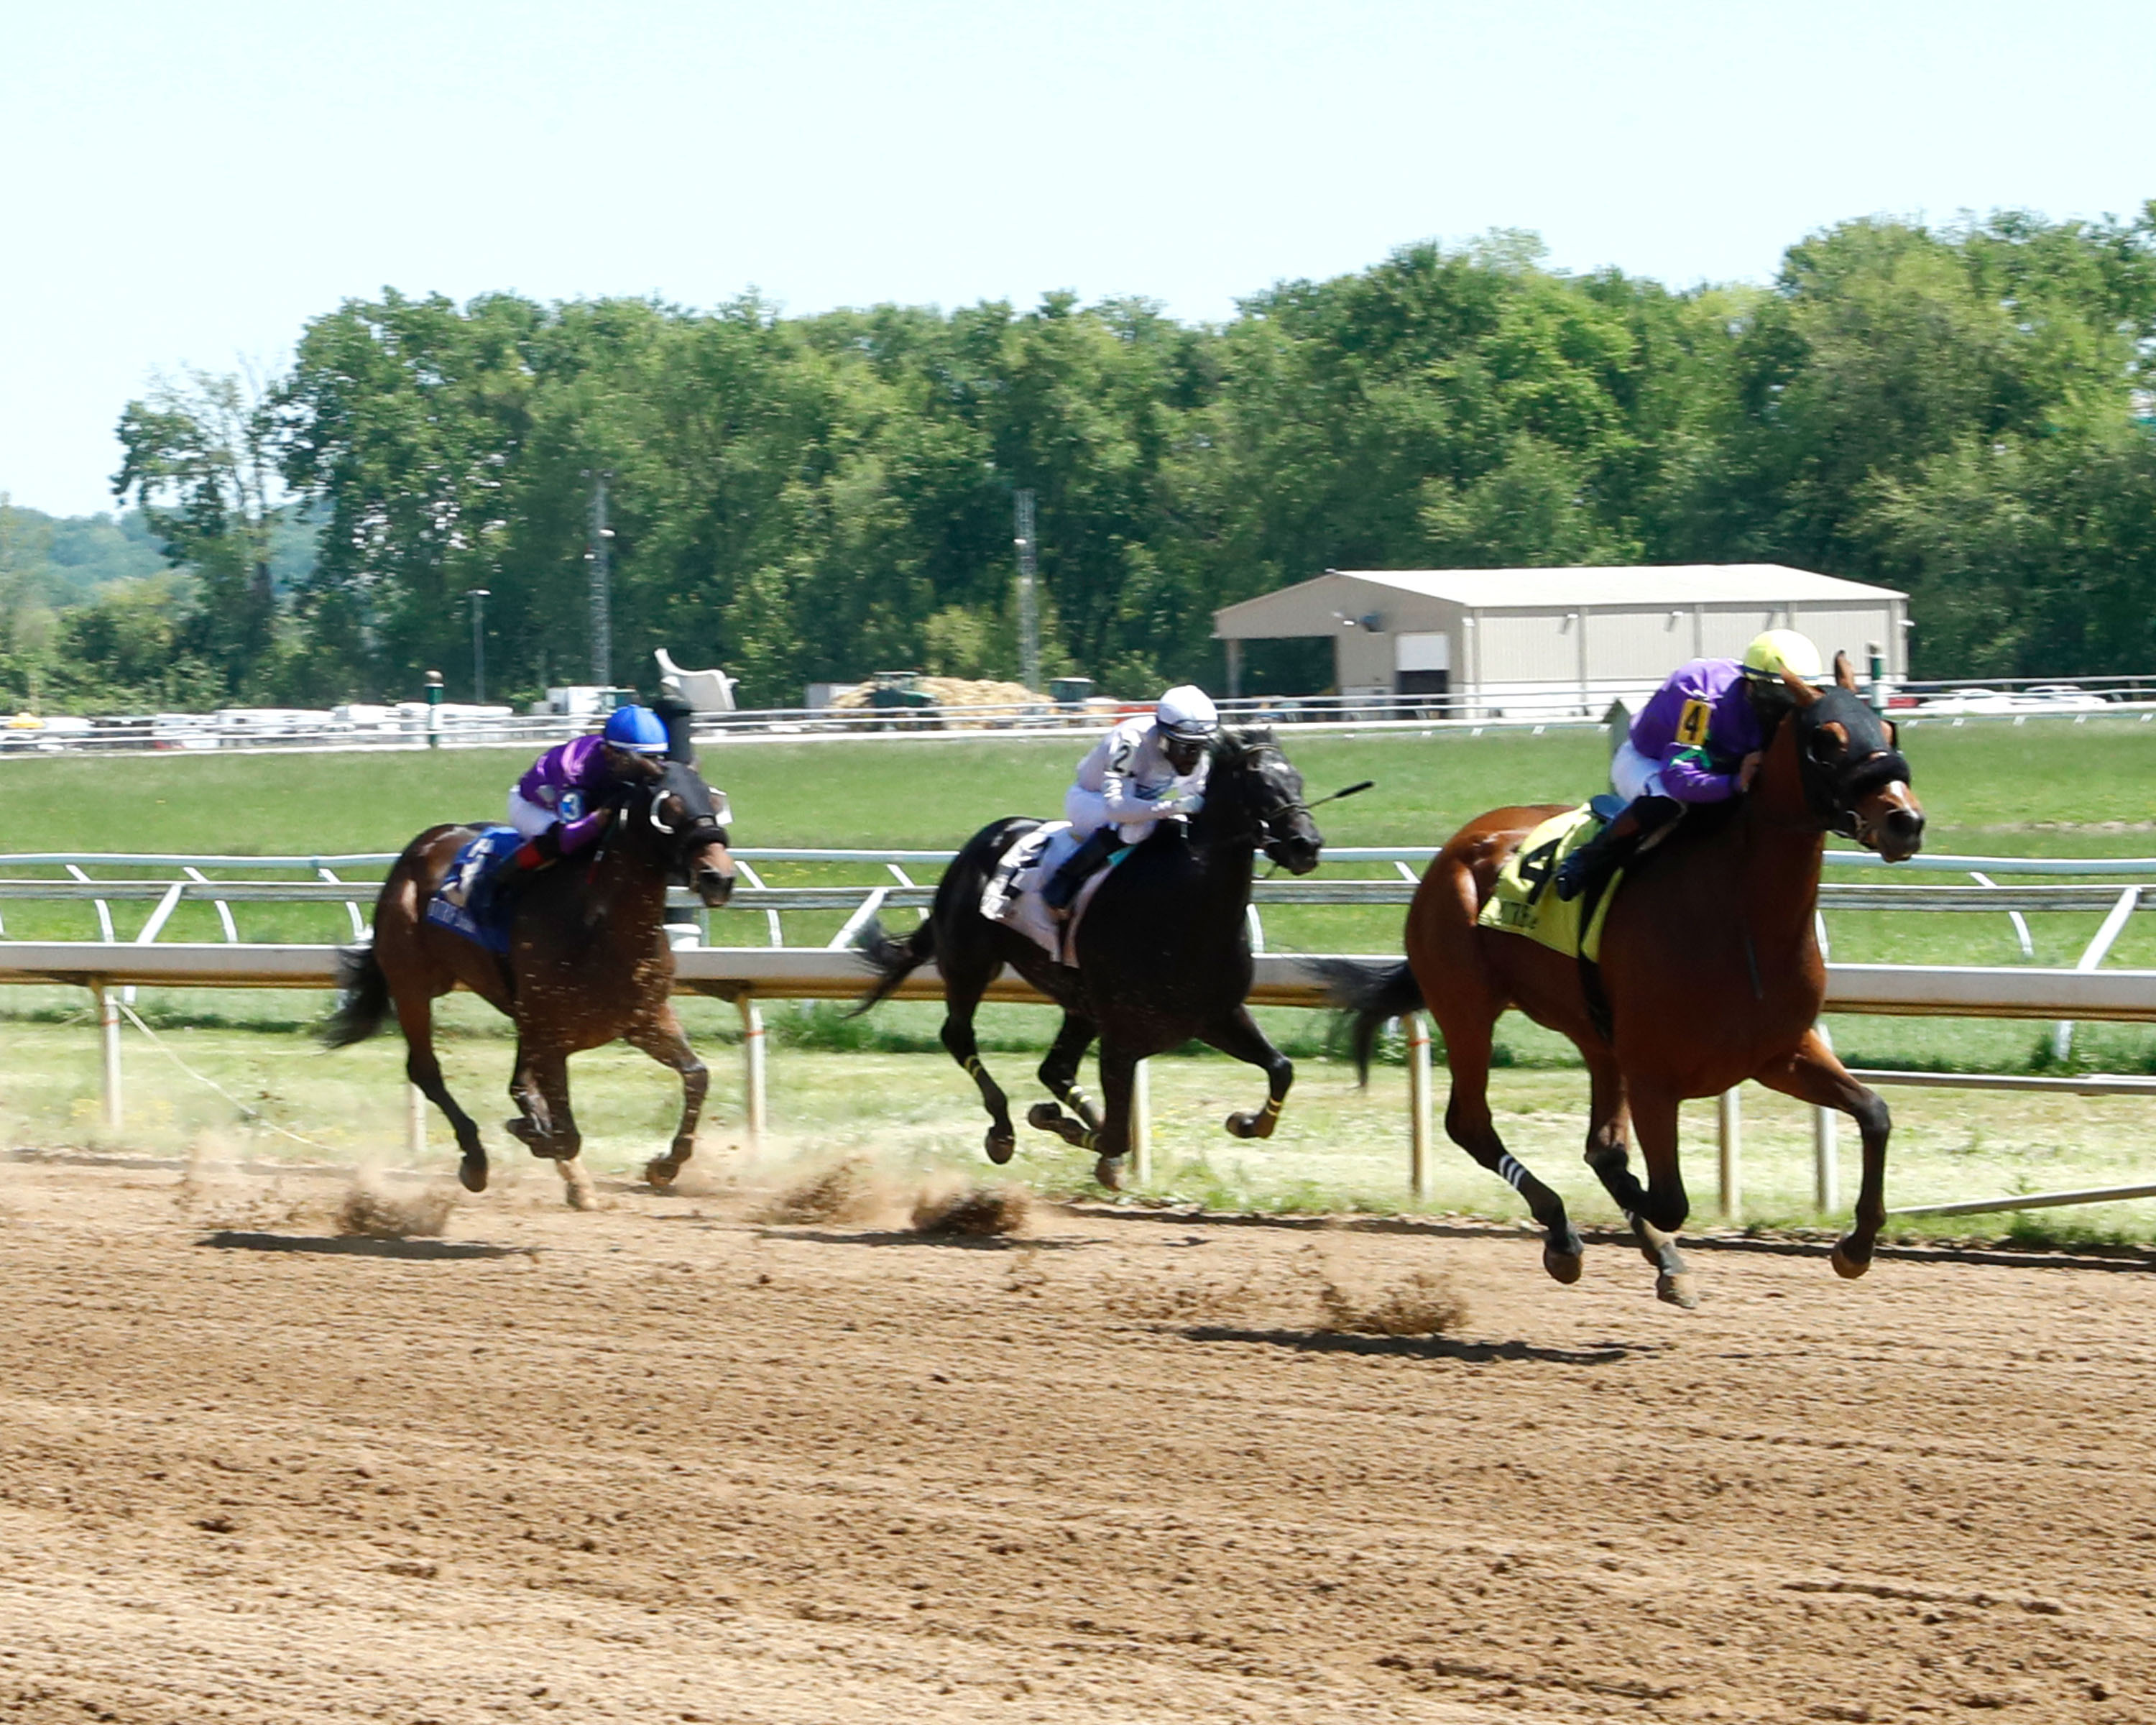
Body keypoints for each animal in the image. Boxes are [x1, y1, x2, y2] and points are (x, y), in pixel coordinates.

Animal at [322, 756, 737, 1206]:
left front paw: (664, 1166)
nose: (719, 877)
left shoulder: (644, 1018)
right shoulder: (551, 1031)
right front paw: (538, 1136)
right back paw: (477, 1159)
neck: (602, 926)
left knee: (516, 1083)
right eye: (668, 807)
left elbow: (697, 1076)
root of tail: (424, 843)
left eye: (711, 798)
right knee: (426, 1070)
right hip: (412, 983)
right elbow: (567, 1135)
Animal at [852, 727, 1326, 1189]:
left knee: (1055, 1070)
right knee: (959, 1036)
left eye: (1299, 780)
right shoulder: (1122, 1038)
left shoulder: (1216, 1015)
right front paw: (1069, 1131)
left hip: (1078, 1003)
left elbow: (1282, 1068)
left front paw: (1247, 1122)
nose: (1307, 844)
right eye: (1260, 784)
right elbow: (1117, 1134)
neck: (1185, 907)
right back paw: (1003, 1131)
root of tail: (985, 839)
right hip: (969, 964)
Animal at [1332, 653, 1924, 1304]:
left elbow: (1874, 1113)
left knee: (1585, 1132)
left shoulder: (1778, 1053)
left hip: (1592, 1032)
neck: (1738, 912)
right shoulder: (1653, 1078)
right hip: (1466, 1006)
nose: (1905, 821)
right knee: (1472, 1124)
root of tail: (1457, 847)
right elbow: (1660, 1193)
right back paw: (1563, 1235)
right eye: (1827, 740)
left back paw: (1658, 1256)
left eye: (1888, 730)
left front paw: (1856, 1246)